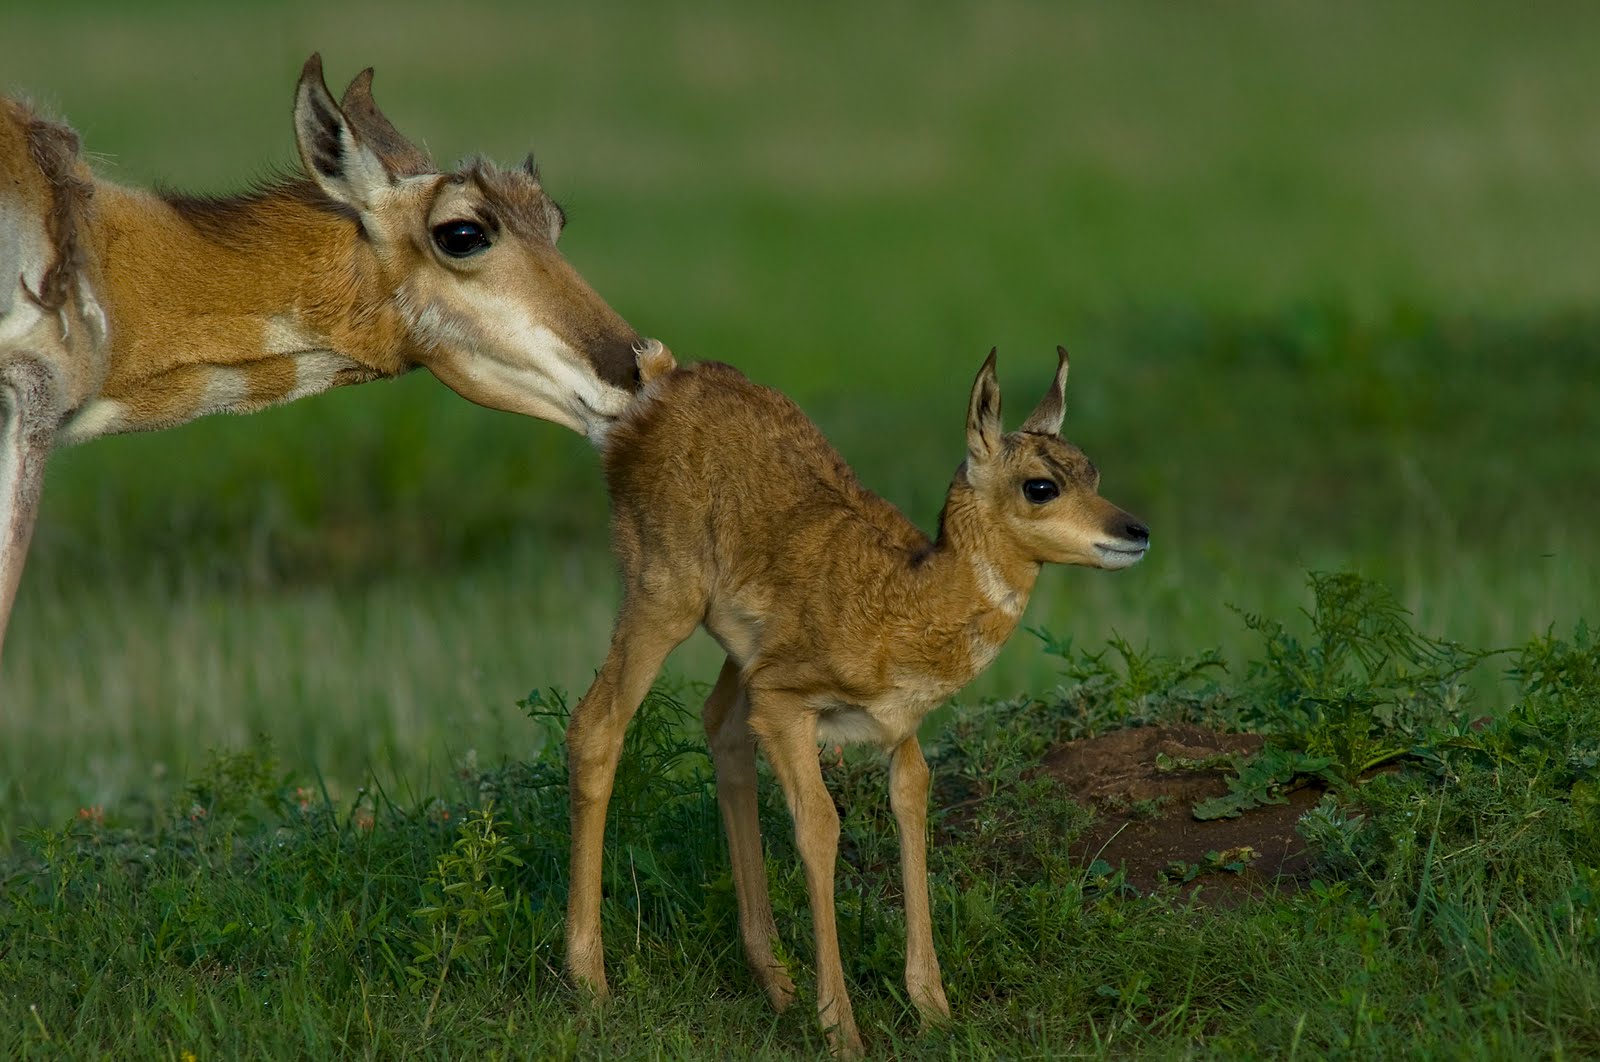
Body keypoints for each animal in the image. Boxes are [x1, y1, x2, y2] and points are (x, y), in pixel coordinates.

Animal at [565, 343, 1150, 1055]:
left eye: (1091, 469)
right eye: (1041, 484)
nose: (1135, 531)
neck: (906, 596)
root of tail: (660, 379)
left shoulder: (898, 731)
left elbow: (912, 807)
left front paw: (934, 1012)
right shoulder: (785, 703)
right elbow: (820, 826)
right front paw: (844, 1032)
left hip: (734, 657)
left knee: (719, 727)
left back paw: (777, 986)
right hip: (664, 601)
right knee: (596, 727)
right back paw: (591, 983)